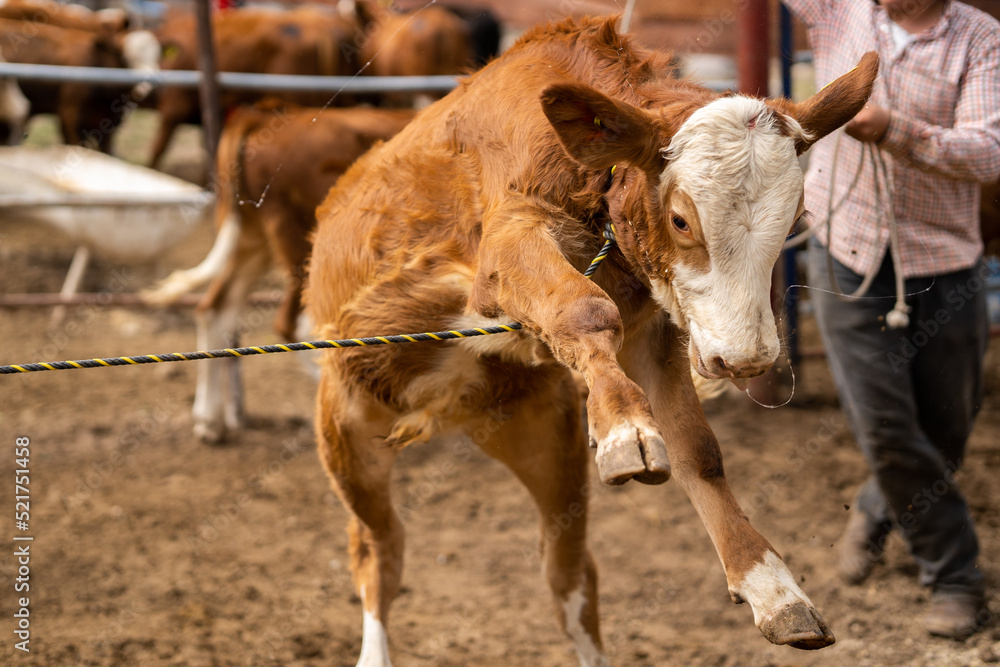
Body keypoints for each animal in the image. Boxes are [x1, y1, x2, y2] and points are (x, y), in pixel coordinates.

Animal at [143, 101, 416, 443]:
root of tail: (263, 115)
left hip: (252, 240)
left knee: (214, 309)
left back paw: (209, 421)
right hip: (303, 242)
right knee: (296, 324)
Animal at [305, 15, 878, 666]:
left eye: (795, 221)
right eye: (681, 220)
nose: (746, 358)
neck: (592, 186)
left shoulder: (652, 329)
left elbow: (697, 450)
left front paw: (774, 589)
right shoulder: (507, 245)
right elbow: (581, 309)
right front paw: (627, 429)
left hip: (542, 440)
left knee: (568, 573)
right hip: (347, 434)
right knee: (379, 552)